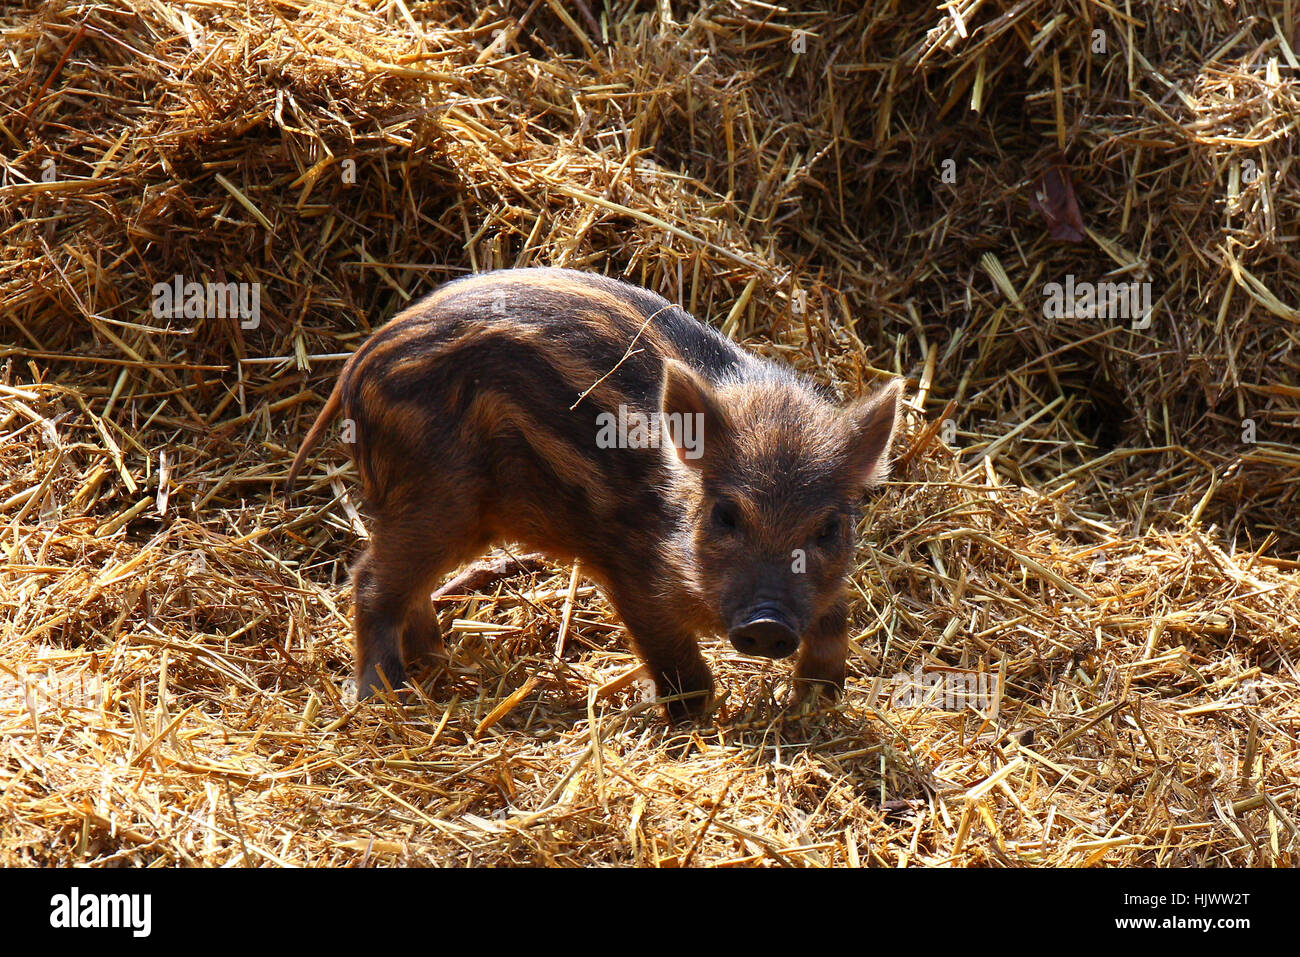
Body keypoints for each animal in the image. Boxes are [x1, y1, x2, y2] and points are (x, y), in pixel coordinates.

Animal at [286, 268, 903, 721]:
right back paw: (382, 696)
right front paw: (689, 721)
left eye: (829, 528)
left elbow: (833, 625)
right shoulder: (633, 571)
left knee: (406, 585)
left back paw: (440, 665)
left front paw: (815, 706)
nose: (768, 623)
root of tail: (358, 367)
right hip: (434, 498)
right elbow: (677, 665)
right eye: (725, 515)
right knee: (370, 579)